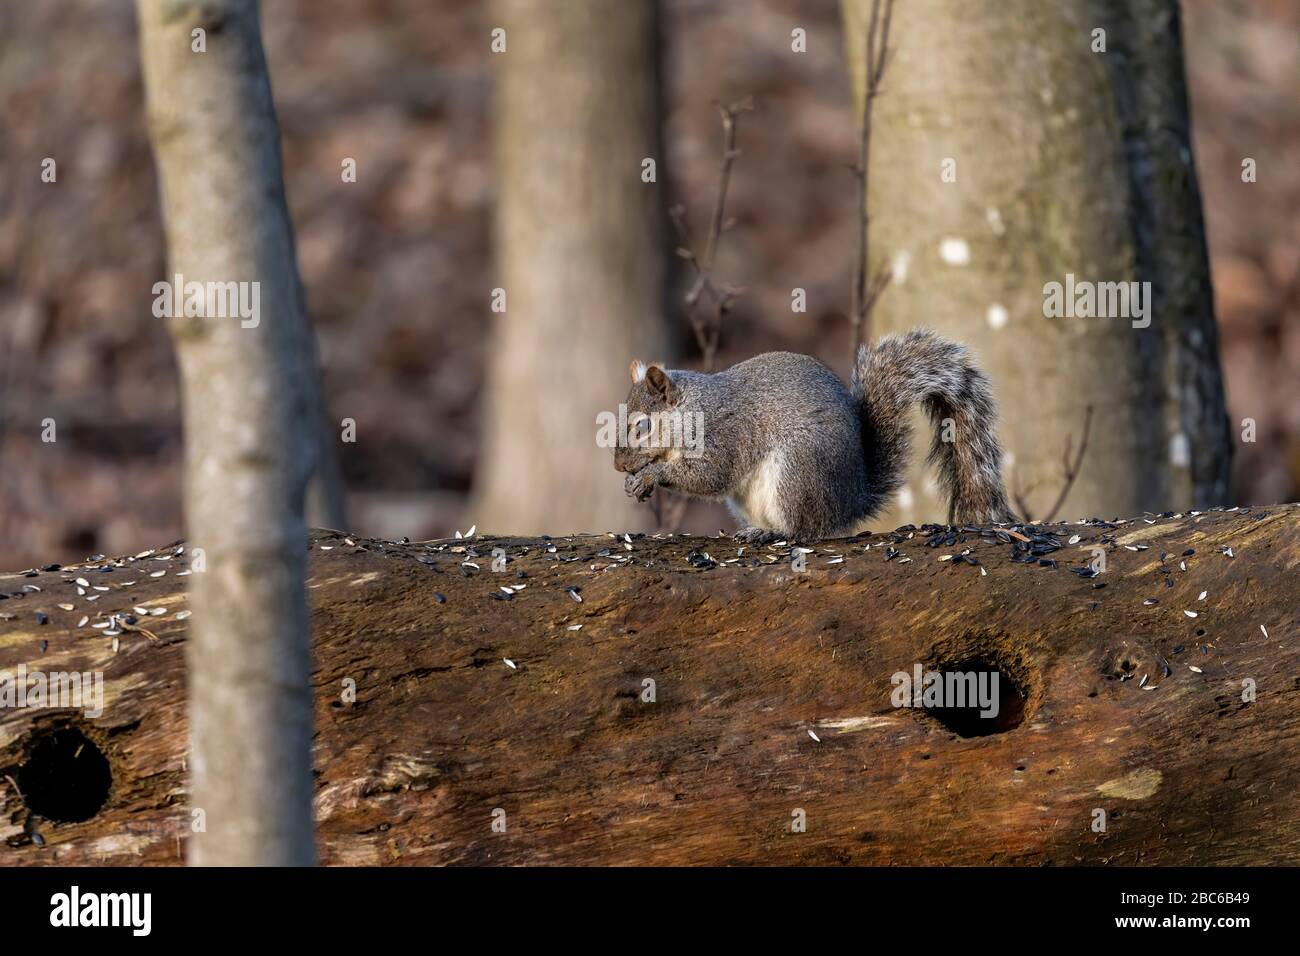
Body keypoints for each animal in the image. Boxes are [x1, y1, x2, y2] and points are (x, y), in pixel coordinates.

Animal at [613, 329, 1015, 543]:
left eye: (642, 426)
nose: (618, 466)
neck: (692, 409)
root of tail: (851, 500)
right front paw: (634, 484)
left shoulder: (722, 435)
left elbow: (710, 476)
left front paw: (649, 476)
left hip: (797, 472)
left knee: (805, 530)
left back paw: (772, 534)